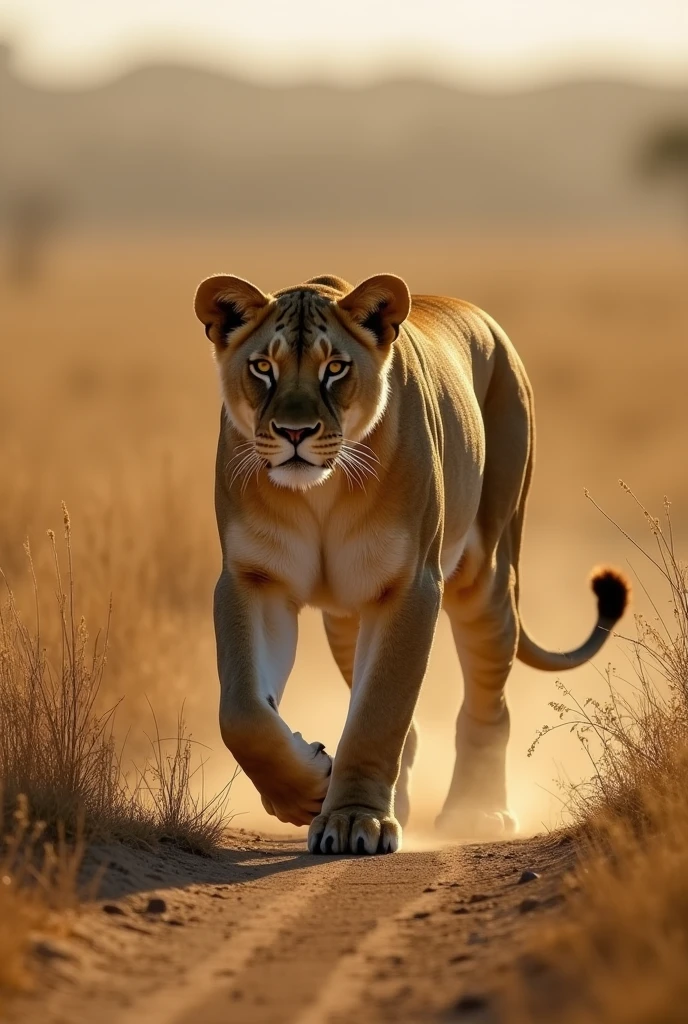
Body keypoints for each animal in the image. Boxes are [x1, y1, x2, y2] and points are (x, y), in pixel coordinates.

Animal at [193, 271, 628, 855]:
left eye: (336, 368)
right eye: (263, 367)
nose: (294, 433)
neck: (320, 493)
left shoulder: (410, 584)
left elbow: (379, 711)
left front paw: (353, 820)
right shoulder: (252, 579)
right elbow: (242, 713)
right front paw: (308, 788)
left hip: (485, 574)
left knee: (489, 706)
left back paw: (477, 812)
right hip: (346, 618)